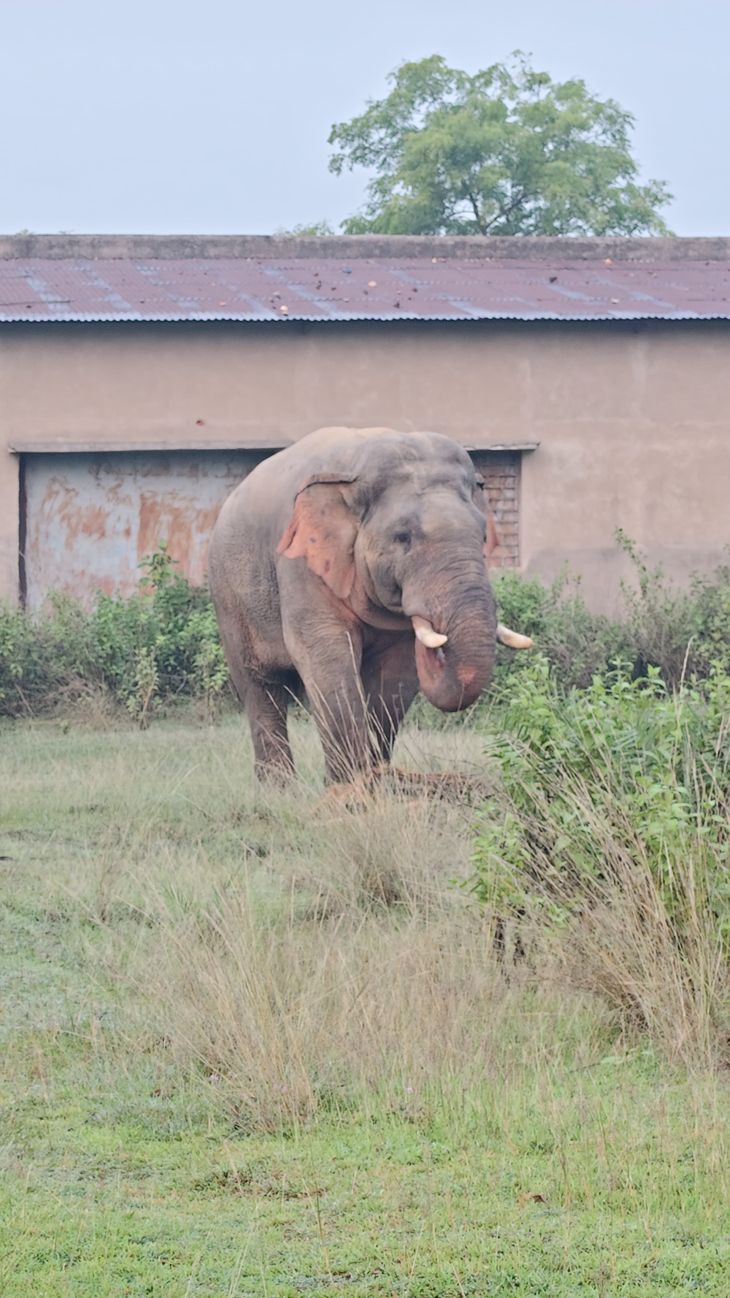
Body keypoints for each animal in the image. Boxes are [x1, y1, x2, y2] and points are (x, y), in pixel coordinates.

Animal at [208, 426, 531, 784]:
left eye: (483, 537)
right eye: (403, 537)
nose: (435, 635)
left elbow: (396, 674)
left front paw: (376, 780)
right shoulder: (301, 563)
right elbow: (326, 654)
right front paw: (348, 788)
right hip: (229, 597)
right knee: (261, 689)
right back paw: (278, 790)